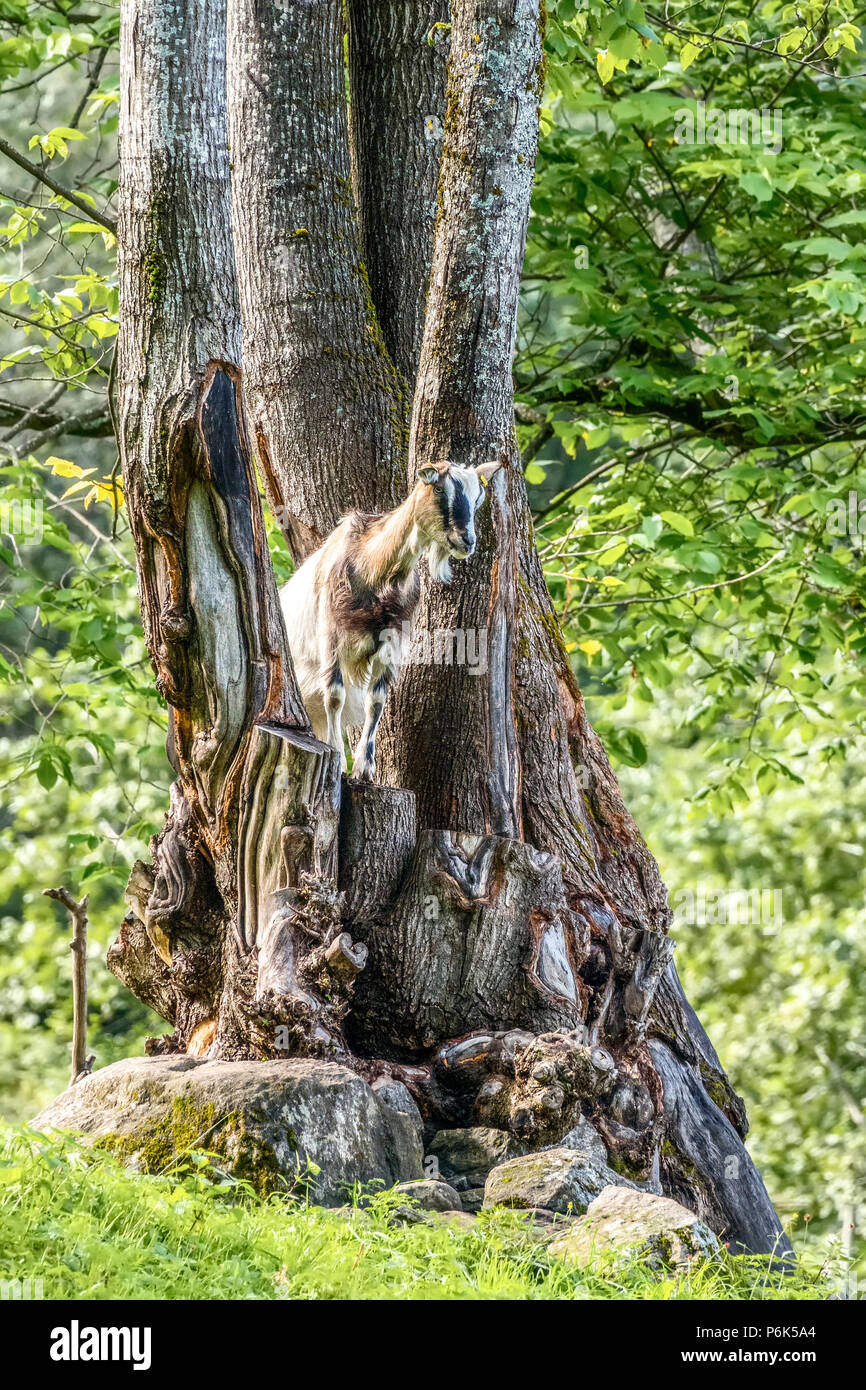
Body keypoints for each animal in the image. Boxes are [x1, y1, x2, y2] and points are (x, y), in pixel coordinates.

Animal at [279, 460, 501, 780]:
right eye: (438, 488)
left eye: (478, 497)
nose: (467, 541)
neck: (372, 566)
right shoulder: (331, 634)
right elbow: (334, 694)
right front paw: (338, 758)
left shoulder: (392, 640)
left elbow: (377, 700)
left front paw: (365, 769)